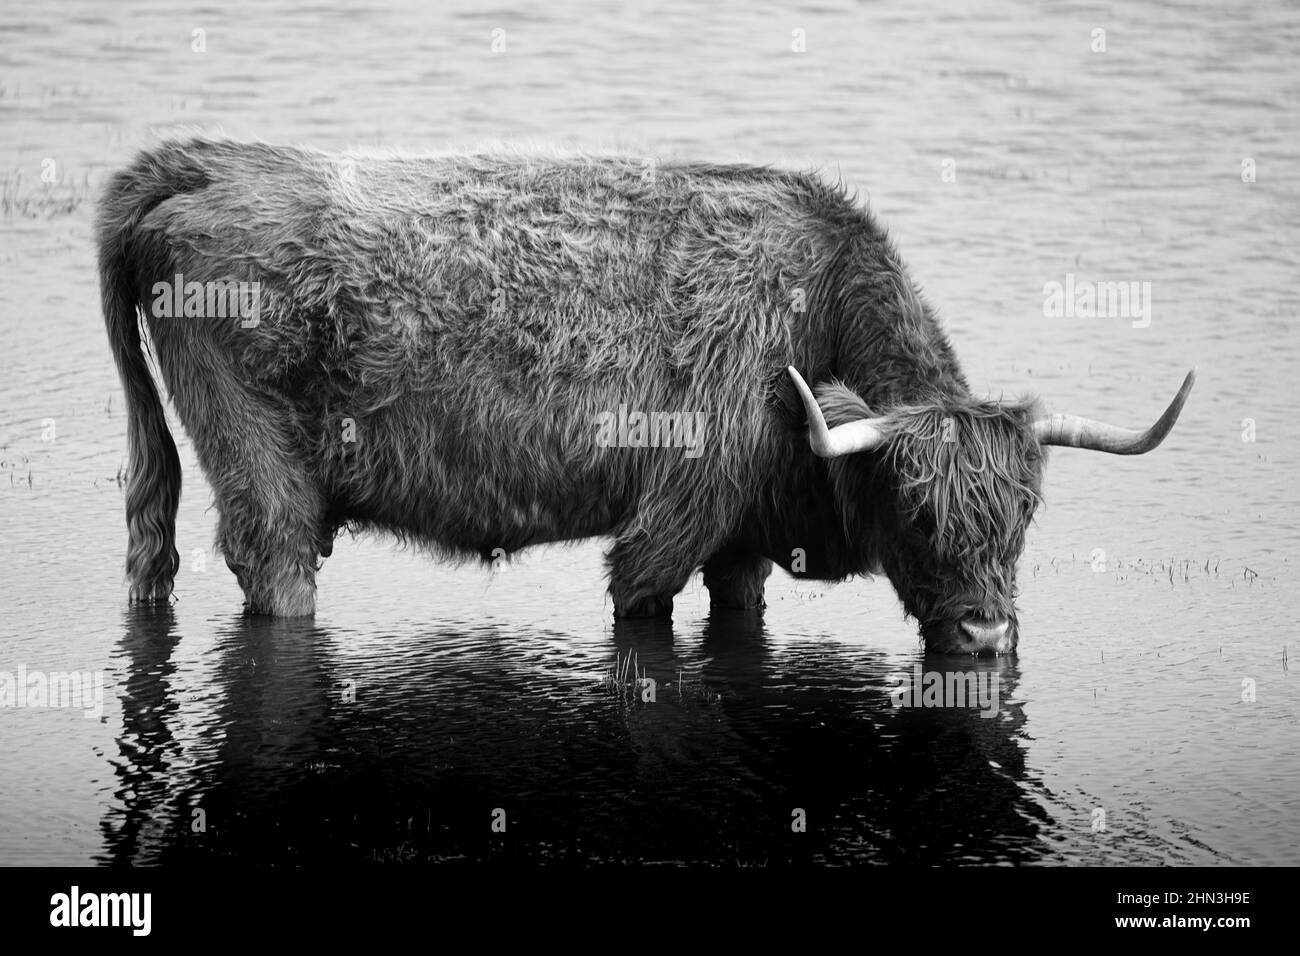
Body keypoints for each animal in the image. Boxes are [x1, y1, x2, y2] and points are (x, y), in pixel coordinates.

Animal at [98, 138, 1194, 654]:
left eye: (1024, 515)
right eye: (918, 508)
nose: (985, 636)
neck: (812, 320)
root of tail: (203, 165)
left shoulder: (741, 545)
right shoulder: (666, 530)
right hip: (266, 475)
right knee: (274, 566)